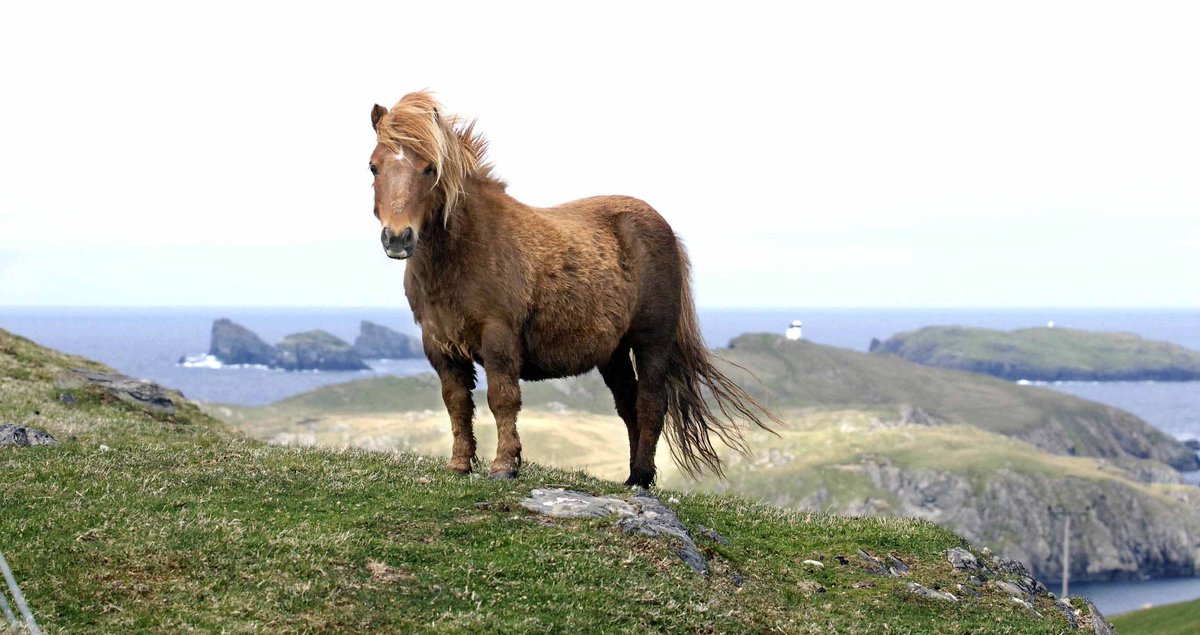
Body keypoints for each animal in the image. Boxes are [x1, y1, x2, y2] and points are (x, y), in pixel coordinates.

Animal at [367, 91, 778, 487]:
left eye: (429, 168)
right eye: (374, 166)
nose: (398, 238)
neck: (465, 249)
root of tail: (664, 228)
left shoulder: (499, 337)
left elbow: (502, 399)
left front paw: (505, 465)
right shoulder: (440, 344)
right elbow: (456, 403)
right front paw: (459, 465)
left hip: (652, 342)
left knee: (650, 403)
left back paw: (642, 477)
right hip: (613, 353)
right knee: (628, 404)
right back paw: (633, 476)